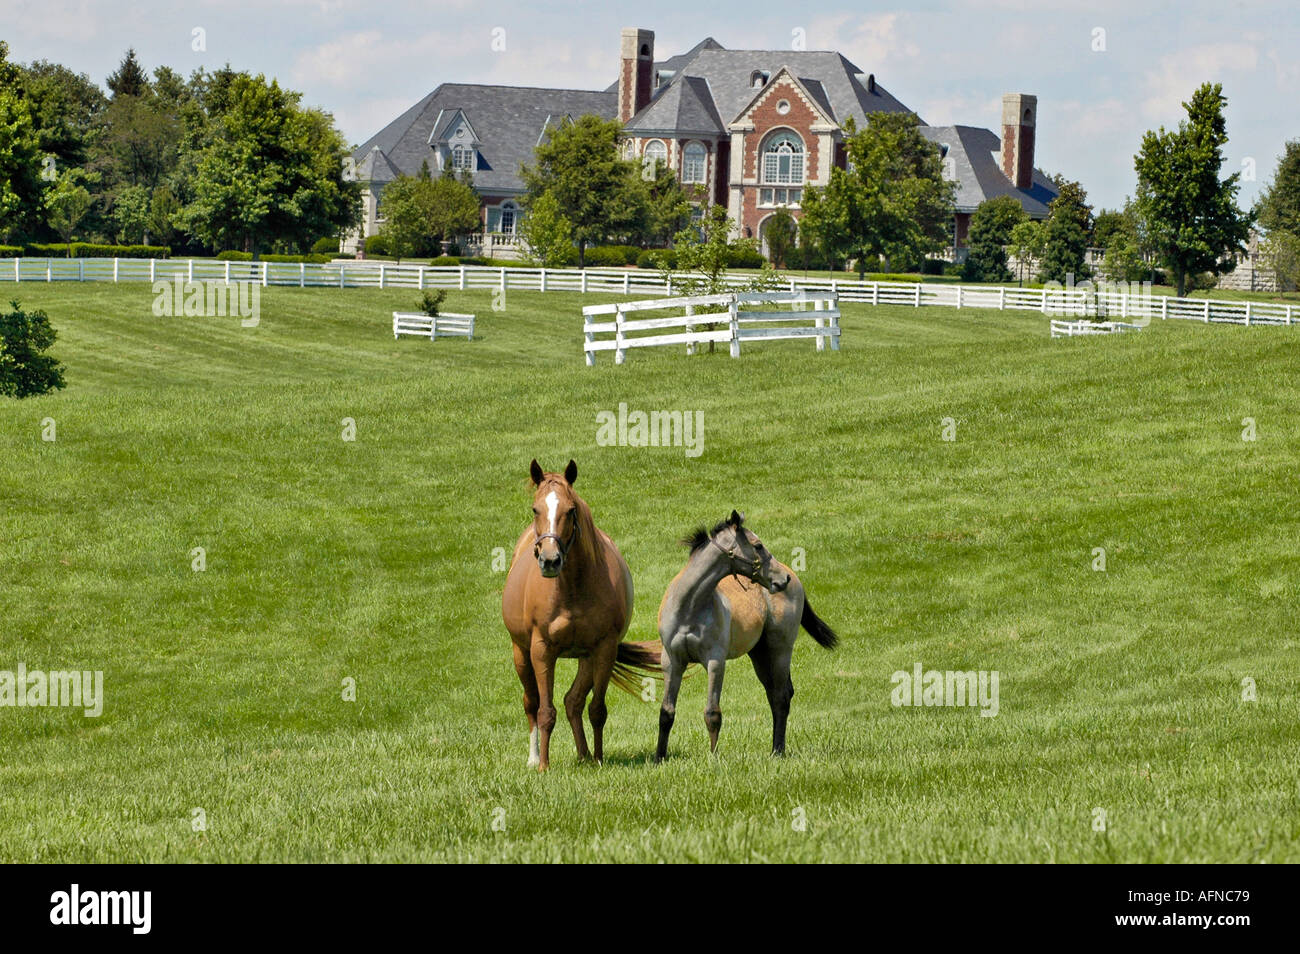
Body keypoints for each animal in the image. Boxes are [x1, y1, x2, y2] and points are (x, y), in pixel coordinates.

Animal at [501, 459, 660, 771]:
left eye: (570, 509)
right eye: (535, 509)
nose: (550, 560)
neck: (572, 588)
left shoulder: (604, 649)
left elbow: (596, 709)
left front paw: (598, 758)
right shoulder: (542, 651)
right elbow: (545, 710)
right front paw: (544, 766)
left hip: (586, 658)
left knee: (573, 701)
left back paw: (584, 754)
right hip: (520, 653)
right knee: (531, 702)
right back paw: (534, 757)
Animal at [655, 511, 839, 762]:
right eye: (758, 545)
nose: (782, 579)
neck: (689, 608)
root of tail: (795, 577)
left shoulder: (715, 662)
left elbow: (712, 713)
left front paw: (713, 758)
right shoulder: (672, 661)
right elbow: (666, 712)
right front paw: (658, 758)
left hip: (780, 651)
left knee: (781, 696)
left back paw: (777, 751)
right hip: (760, 655)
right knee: (775, 694)